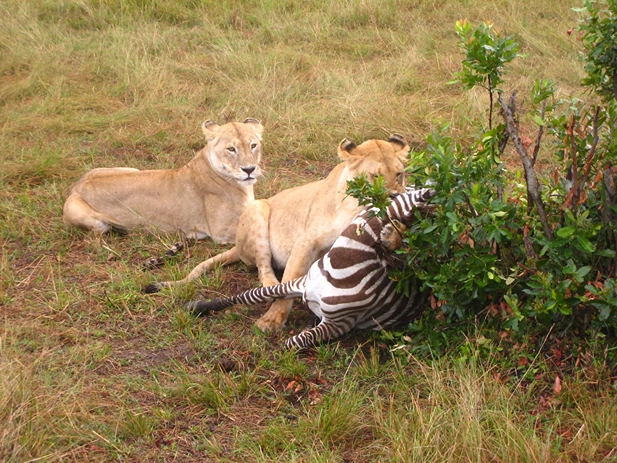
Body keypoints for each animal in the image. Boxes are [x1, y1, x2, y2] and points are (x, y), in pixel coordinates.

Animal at [62, 118, 262, 243]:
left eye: (253, 145)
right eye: (231, 149)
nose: (249, 169)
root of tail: (77, 186)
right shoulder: (222, 230)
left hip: (131, 169)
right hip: (96, 222)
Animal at [146, 136, 410, 332]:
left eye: (399, 174)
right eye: (375, 176)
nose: (394, 197)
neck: (356, 206)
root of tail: (237, 246)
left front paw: (393, 233)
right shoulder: (306, 242)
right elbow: (289, 284)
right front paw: (272, 319)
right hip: (258, 208)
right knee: (264, 269)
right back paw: (269, 286)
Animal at [185, 187, 436, 350]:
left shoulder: (338, 325)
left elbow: (293, 342)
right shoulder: (300, 280)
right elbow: (251, 295)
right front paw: (198, 306)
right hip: (257, 218)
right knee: (262, 265)